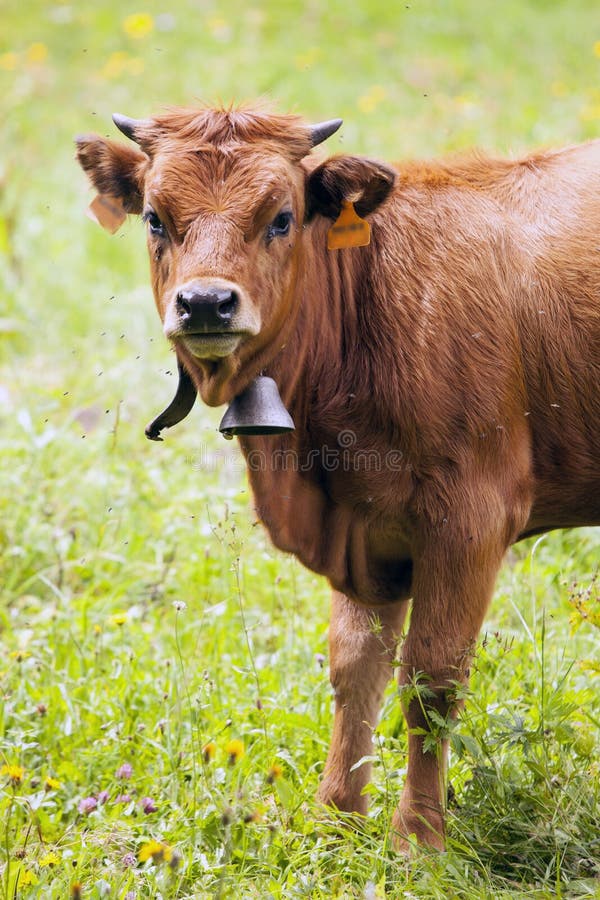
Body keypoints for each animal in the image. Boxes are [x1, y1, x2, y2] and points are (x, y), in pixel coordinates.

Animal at [75, 105, 600, 850]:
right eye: (153, 217)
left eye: (282, 217)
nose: (205, 304)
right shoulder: (364, 531)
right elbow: (356, 668)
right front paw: (336, 815)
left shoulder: (470, 518)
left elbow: (430, 680)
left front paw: (418, 839)